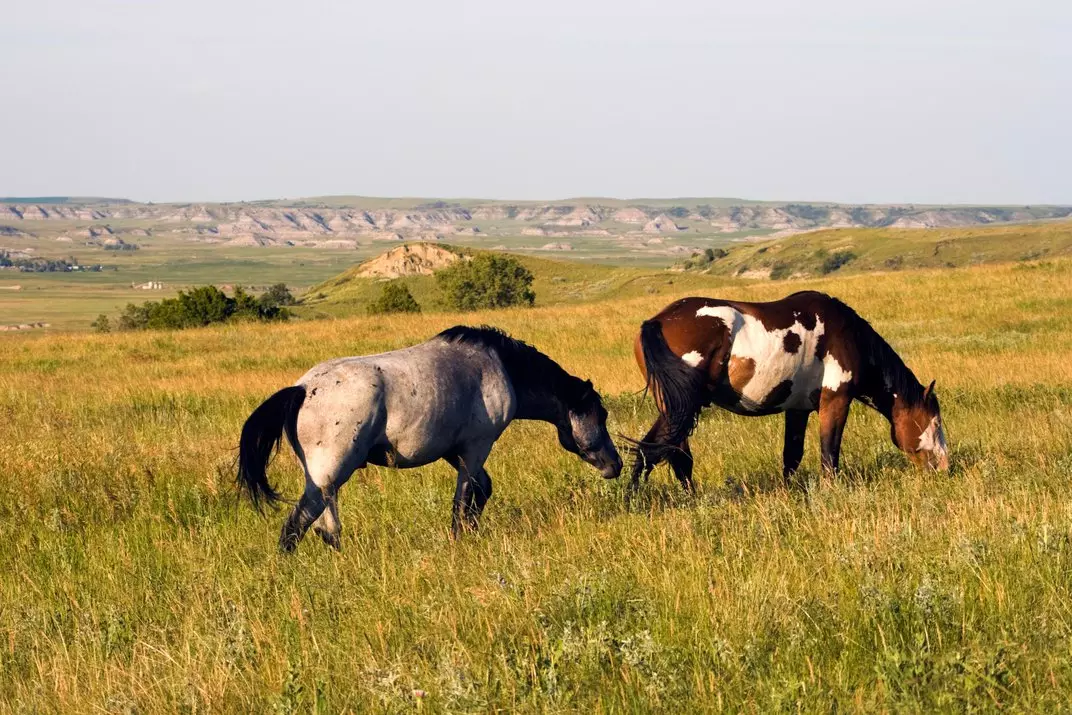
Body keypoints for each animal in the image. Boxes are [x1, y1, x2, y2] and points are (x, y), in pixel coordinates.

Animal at [233, 323, 621, 548]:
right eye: (601, 415)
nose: (615, 464)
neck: (501, 368)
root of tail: (301, 389)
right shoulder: (476, 447)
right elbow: (463, 499)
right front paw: (460, 539)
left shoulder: (454, 449)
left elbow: (481, 490)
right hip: (329, 477)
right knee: (298, 526)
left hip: (324, 482)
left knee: (323, 529)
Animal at [630, 291, 951, 493]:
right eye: (935, 422)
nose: (945, 468)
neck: (849, 337)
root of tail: (658, 321)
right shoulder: (836, 401)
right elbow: (829, 452)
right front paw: (830, 492)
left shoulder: (798, 409)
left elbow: (791, 456)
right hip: (681, 408)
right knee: (667, 451)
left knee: (663, 451)